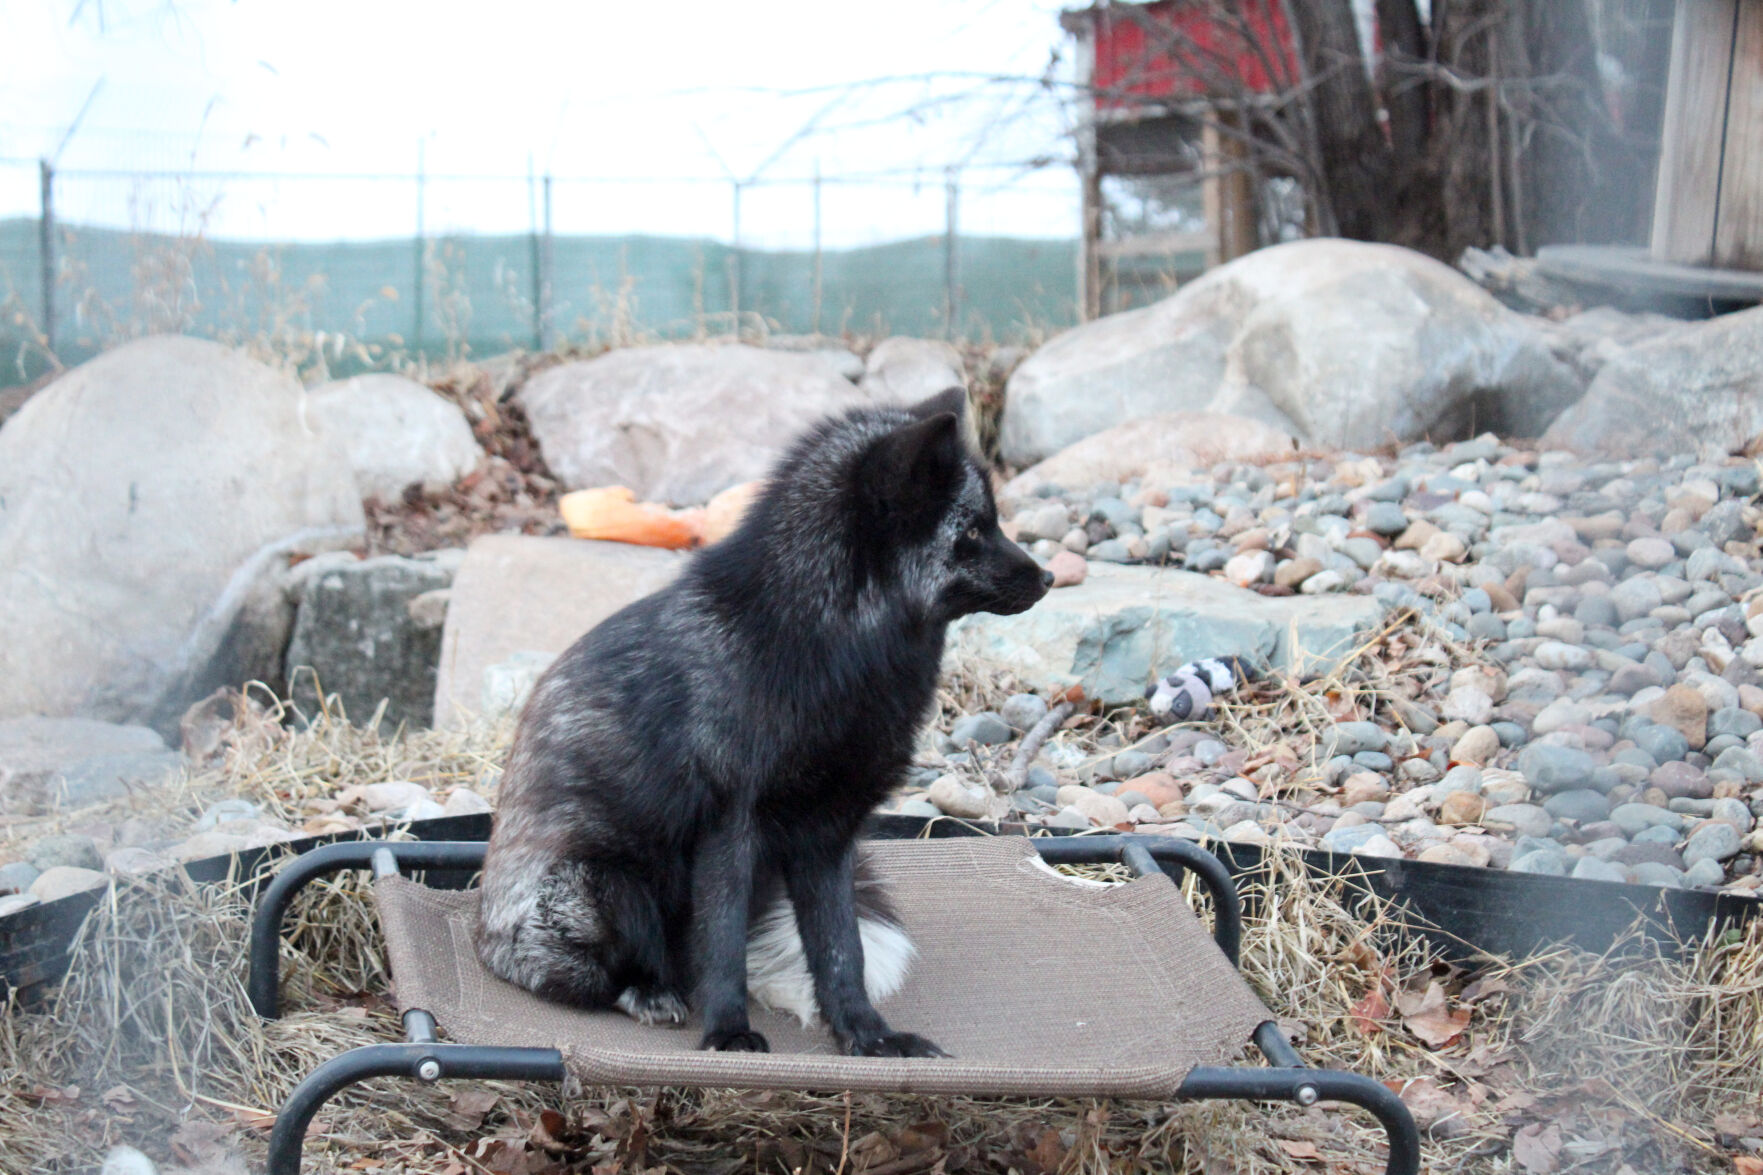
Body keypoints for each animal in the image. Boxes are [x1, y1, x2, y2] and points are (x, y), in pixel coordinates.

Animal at [474, 387, 1050, 1056]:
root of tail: (481, 930)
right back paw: (650, 993)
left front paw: (867, 1036)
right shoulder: (731, 824)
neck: (831, 646)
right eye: (975, 529)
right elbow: (723, 948)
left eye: (994, 522)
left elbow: (841, 952)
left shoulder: (829, 834)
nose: (1049, 577)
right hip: (603, 887)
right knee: (614, 977)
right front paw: (728, 1034)